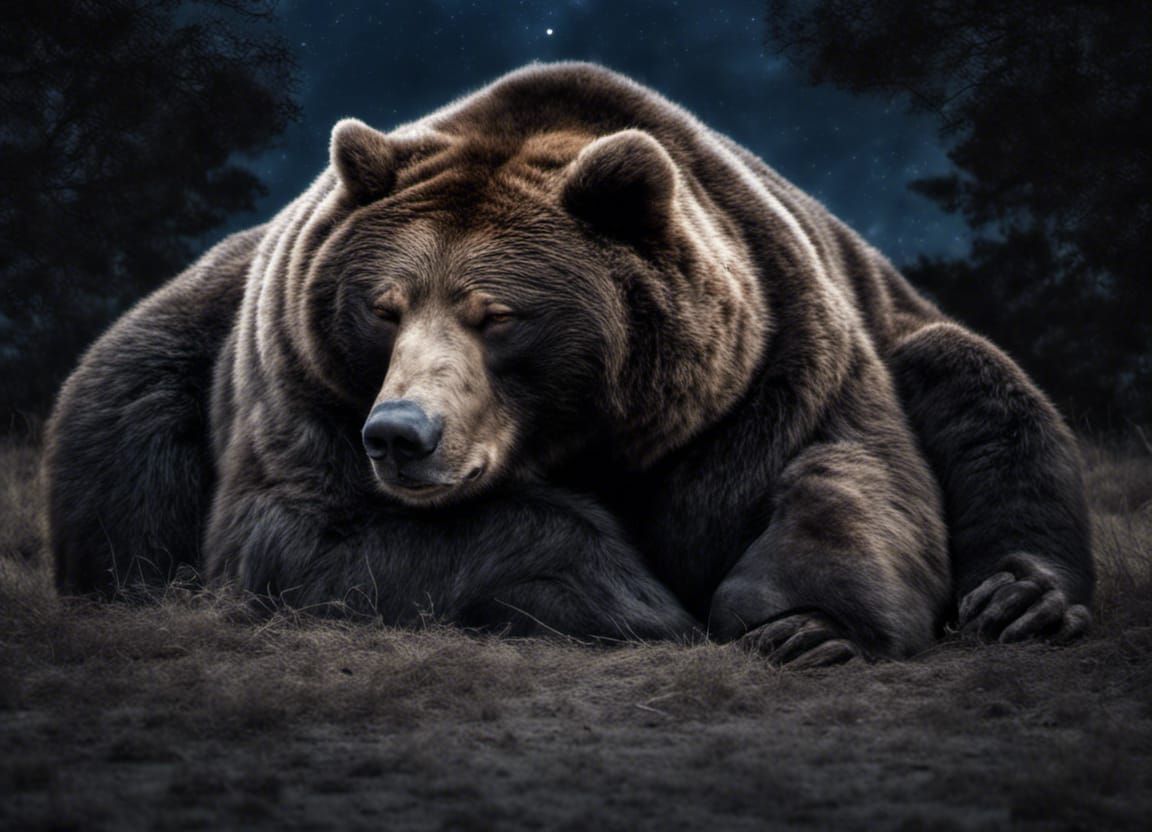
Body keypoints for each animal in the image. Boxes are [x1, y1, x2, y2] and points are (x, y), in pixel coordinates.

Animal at [44, 63, 1093, 666]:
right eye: (383, 308)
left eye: (497, 314)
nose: (400, 434)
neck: (581, 440)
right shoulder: (302, 387)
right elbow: (313, 535)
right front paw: (640, 604)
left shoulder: (770, 360)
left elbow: (854, 474)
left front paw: (804, 625)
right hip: (167, 363)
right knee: (123, 426)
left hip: (905, 324)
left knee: (986, 396)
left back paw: (1023, 600)